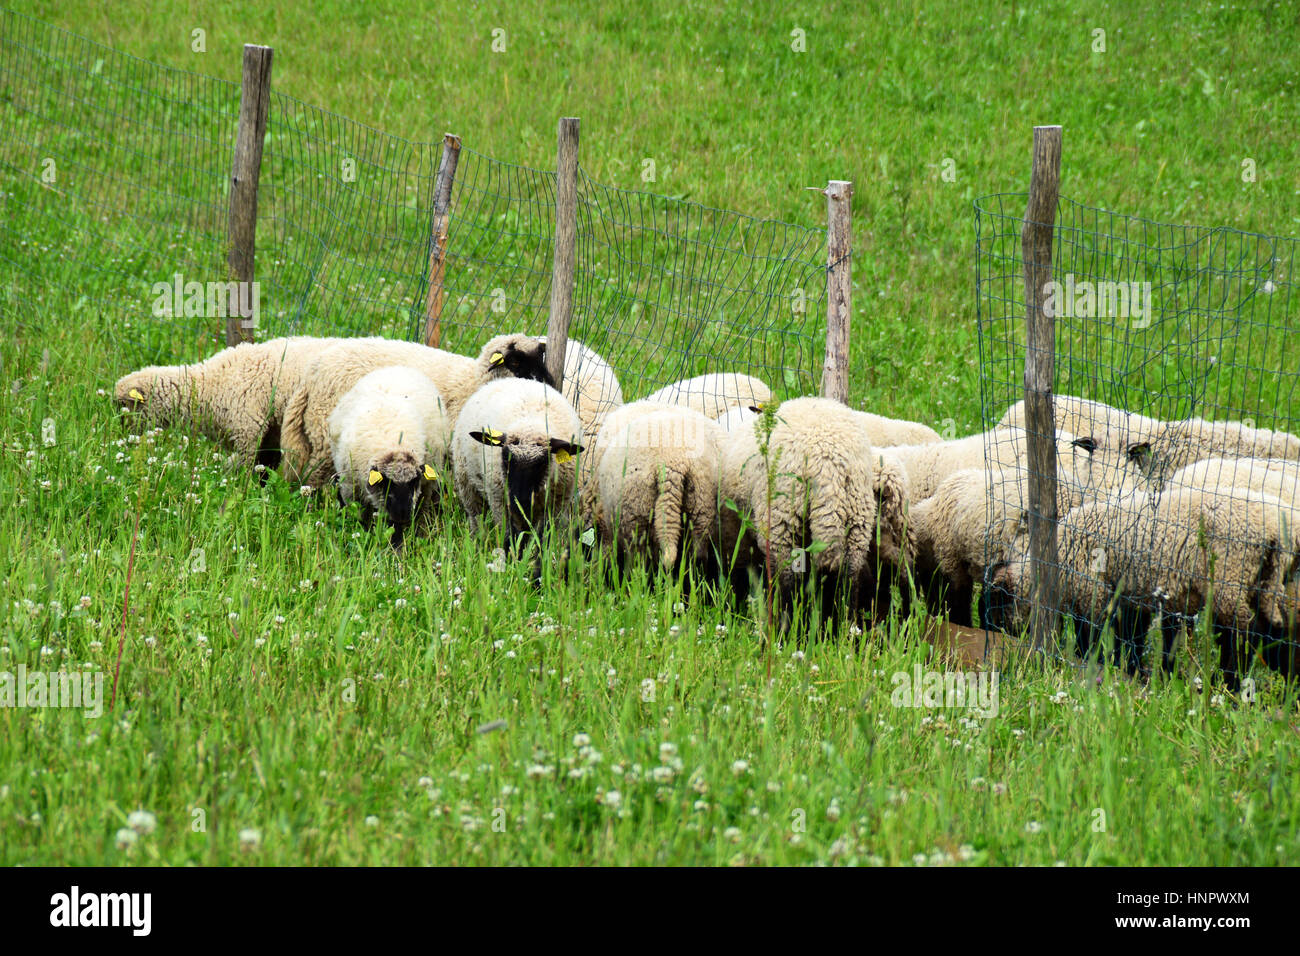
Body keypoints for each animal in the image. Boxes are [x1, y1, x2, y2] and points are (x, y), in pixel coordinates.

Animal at [114, 336, 379, 469]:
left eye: (124, 406)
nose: (122, 436)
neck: (209, 385)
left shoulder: (248, 428)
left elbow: (245, 467)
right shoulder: (269, 432)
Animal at [280, 332, 547, 487]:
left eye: (541, 358)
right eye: (515, 361)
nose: (544, 384)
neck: (472, 382)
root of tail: (311, 375)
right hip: (325, 438)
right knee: (314, 477)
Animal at [328, 366, 450, 549]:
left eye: (414, 481)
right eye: (387, 482)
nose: (403, 514)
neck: (393, 446)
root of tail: (397, 367)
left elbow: (396, 528)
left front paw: (396, 548)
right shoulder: (351, 488)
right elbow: (362, 518)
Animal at [451, 378, 583, 550]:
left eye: (541, 463)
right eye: (505, 458)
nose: (519, 500)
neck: (531, 421)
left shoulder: (555, 507)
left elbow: (543, 539)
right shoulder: (502, 502)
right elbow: (511, 537)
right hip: (466, 481)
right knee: (476, 517)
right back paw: (477, 542)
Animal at [591, 407, 725, 574]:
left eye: (597, 533)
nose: (598, 570)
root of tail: (671, 463)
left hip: (635, 514)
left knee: (639, 560)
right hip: (701, 507)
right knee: (698, 554)